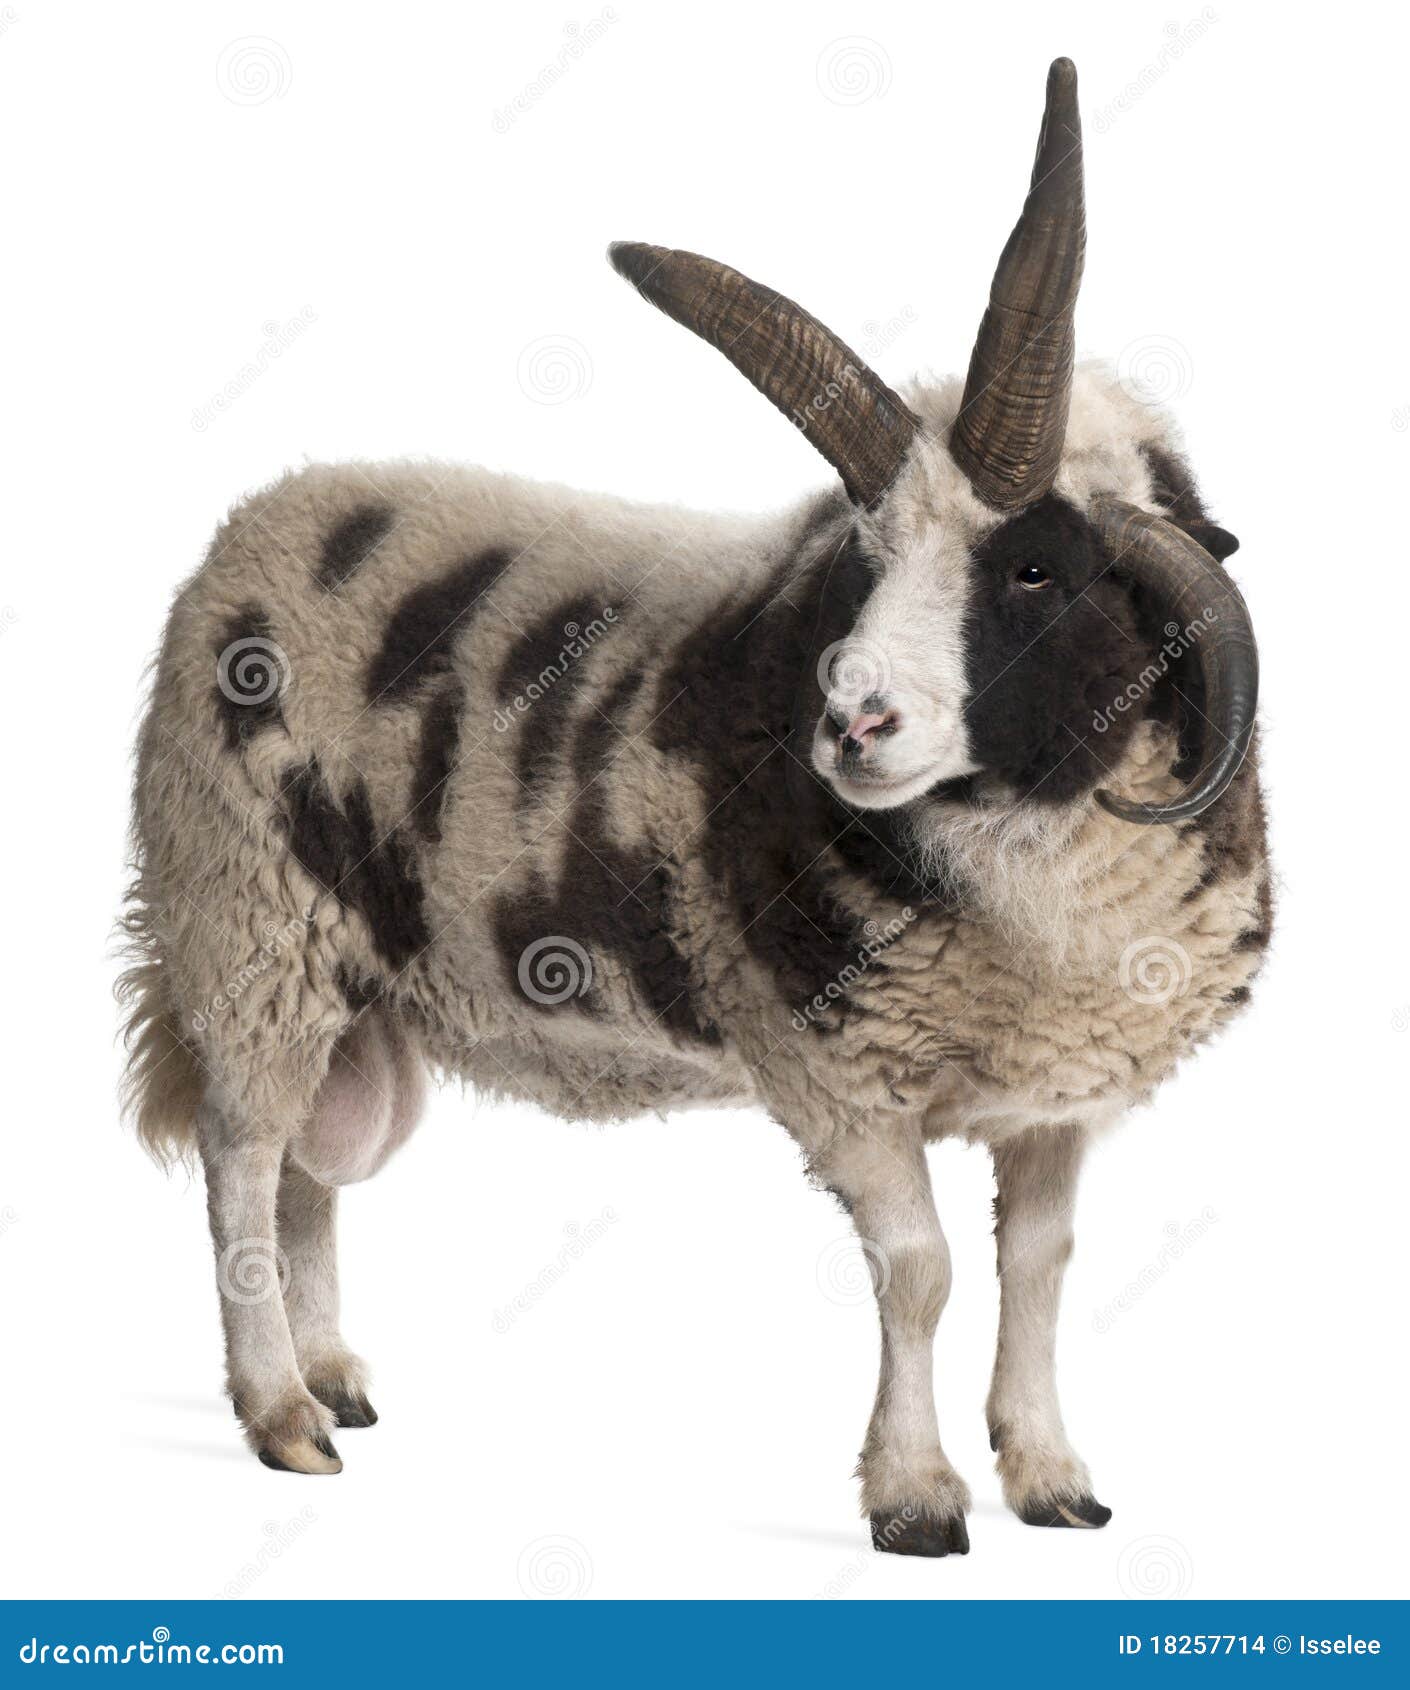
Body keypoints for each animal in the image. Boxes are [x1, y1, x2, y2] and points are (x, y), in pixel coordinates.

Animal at [118, 58, 1269, 1556]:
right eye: (862, 568)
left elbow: (1039, 1266)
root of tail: (249, 529)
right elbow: (920, 1271)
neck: (1028, 879)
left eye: (1034, 568)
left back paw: (333, 1383)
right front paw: (915, 1497)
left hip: (339, 975)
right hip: (248, 927)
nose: (852, 725)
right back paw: (280, 1418)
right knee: (245, 1163)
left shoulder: (1052, 1096)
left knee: (310, 1174)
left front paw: (1052, 1476)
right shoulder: (837, 1066)